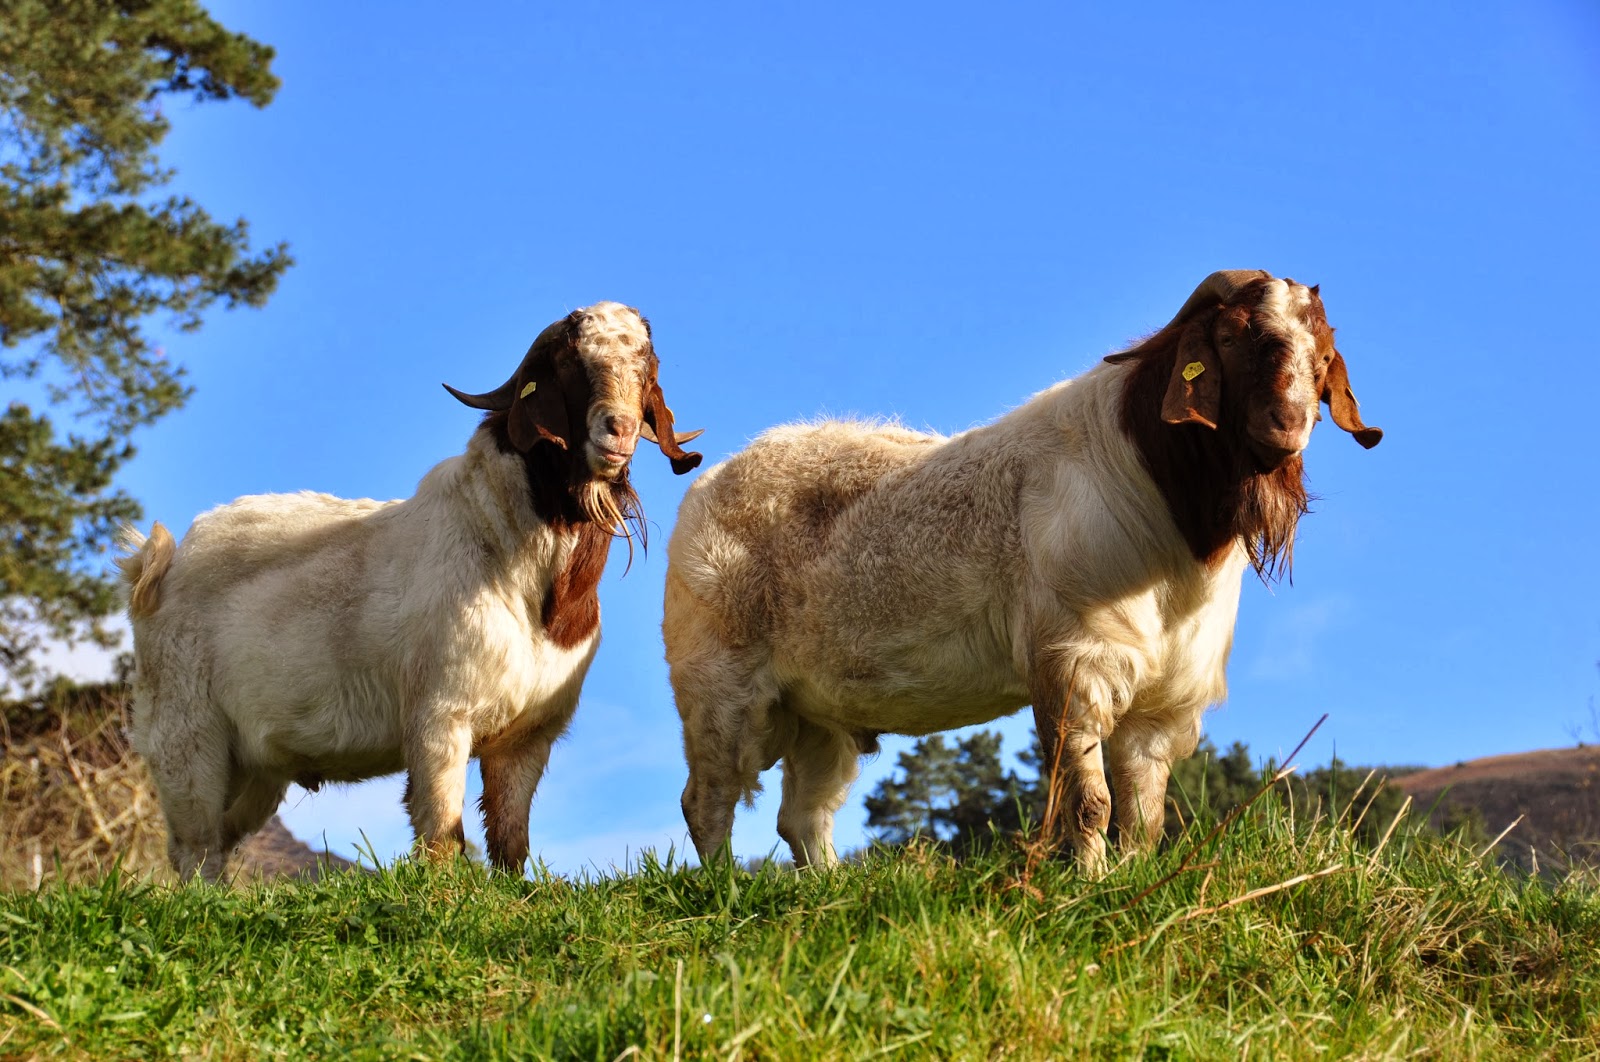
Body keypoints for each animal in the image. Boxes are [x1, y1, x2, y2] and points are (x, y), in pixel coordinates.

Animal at [118, 301, 703, 880]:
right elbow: (441, 832)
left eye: (647, 370)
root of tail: (158, 567)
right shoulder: (439, 718)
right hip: (188, 734)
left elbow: (511, 842)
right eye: (566, 364)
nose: (617, 431)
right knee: (195, 848)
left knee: (220, 841)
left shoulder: (527, 736)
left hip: (256, 766)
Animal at [662, 271, 1381, 872]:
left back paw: (826, 890)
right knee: (709, 798)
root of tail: (705, 489)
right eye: (1231, 338)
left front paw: (1130, 880)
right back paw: (725, 892)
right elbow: (1090, 803)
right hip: (718, 680)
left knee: (803, 816)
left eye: (1322, 358)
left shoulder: (1165, 697)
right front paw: (1090, 885)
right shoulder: (1074, 662)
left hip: (818, 711)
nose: (1288, 426)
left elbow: (1144, 817)